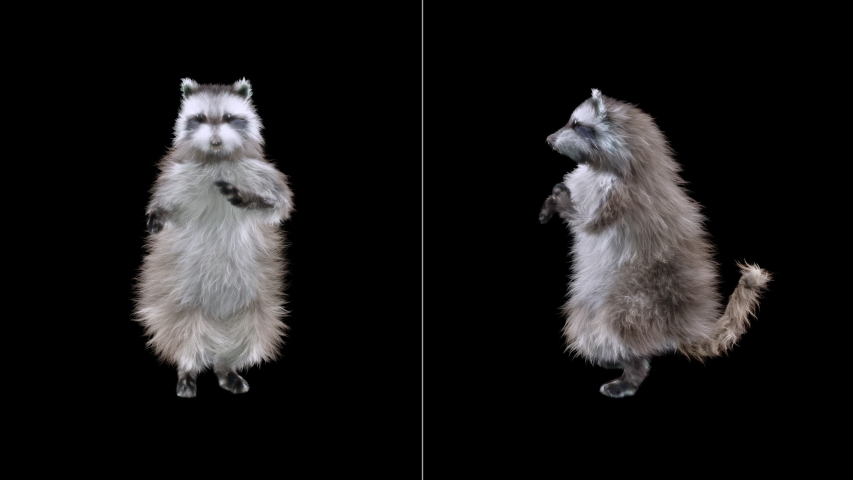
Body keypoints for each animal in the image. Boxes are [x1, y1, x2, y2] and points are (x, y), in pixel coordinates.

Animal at [135, 78, 293, 397]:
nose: (216, 140)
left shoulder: (262, 172)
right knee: (183, 330)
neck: (217, 159)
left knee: (250, 333)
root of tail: (218, 323)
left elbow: (278, 205)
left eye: (229, 118)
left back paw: (226, 367)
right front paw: (157, 214)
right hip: (178, 294)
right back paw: (188, 368)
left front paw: (248, 198)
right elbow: (168, 206)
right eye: (199, 119)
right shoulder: (176, 176)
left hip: (258, 303)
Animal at [539, 89, 770, 398]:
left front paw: (564, 204)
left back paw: (630, 371)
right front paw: (549, 205)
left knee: (623, 324)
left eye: (577, 125)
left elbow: (588, 223)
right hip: (592, 302)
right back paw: (612, 357)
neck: (598, 167)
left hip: (638, 298)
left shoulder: (623, 196)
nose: (549, 139)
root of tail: (677, 329)